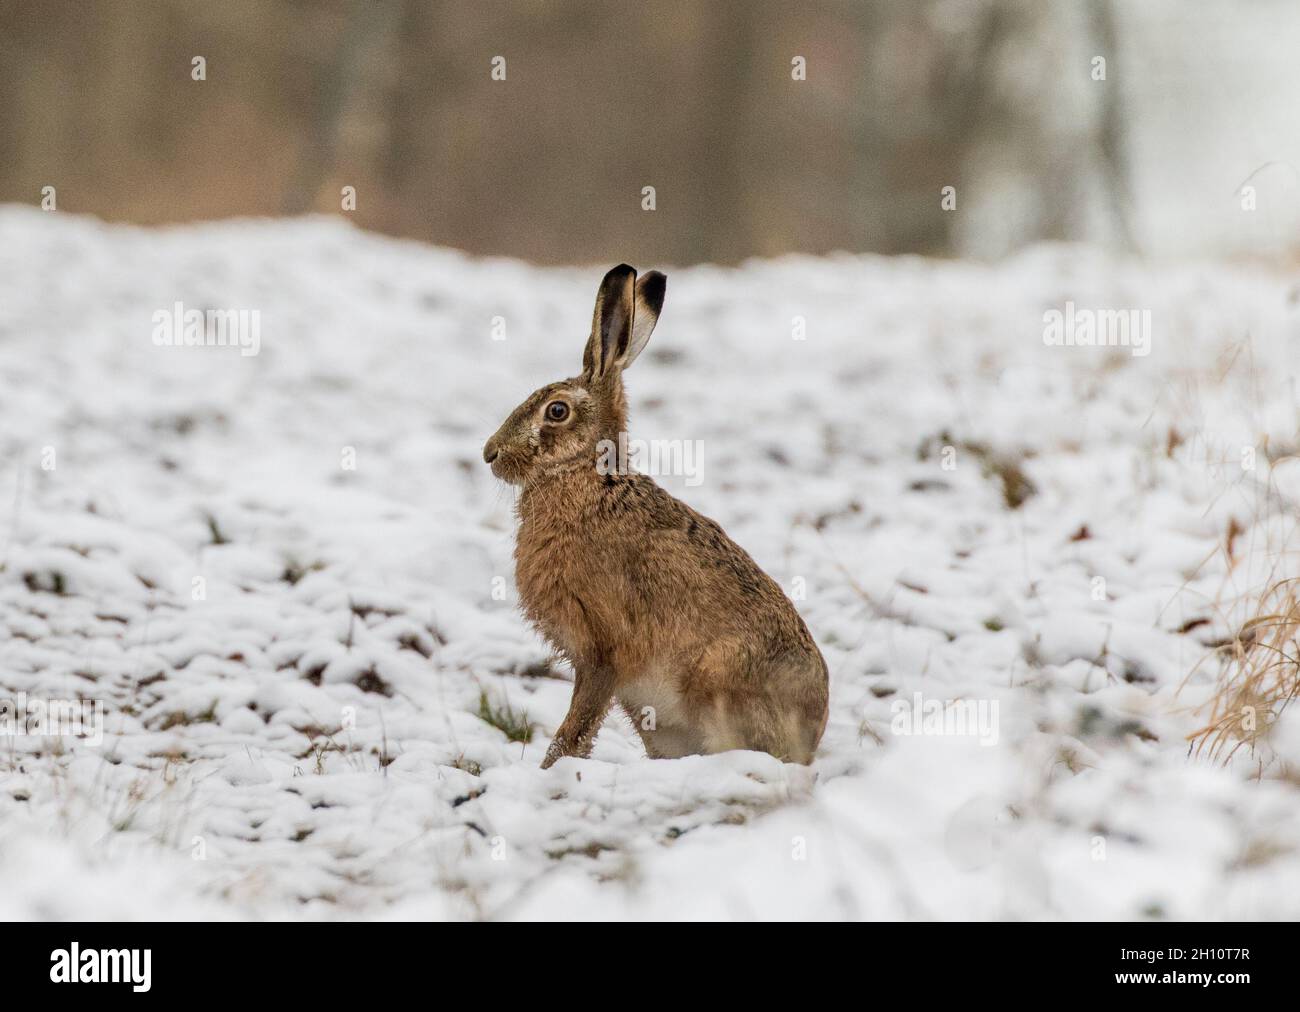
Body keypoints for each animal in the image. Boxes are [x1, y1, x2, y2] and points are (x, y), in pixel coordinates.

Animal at [483, 264, 829, 768]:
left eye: (557, 411)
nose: (489, 454)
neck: (587, 478)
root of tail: (810, 736)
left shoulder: (602, 649)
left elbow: (578, 726)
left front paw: (550, 769)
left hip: (714, 683)